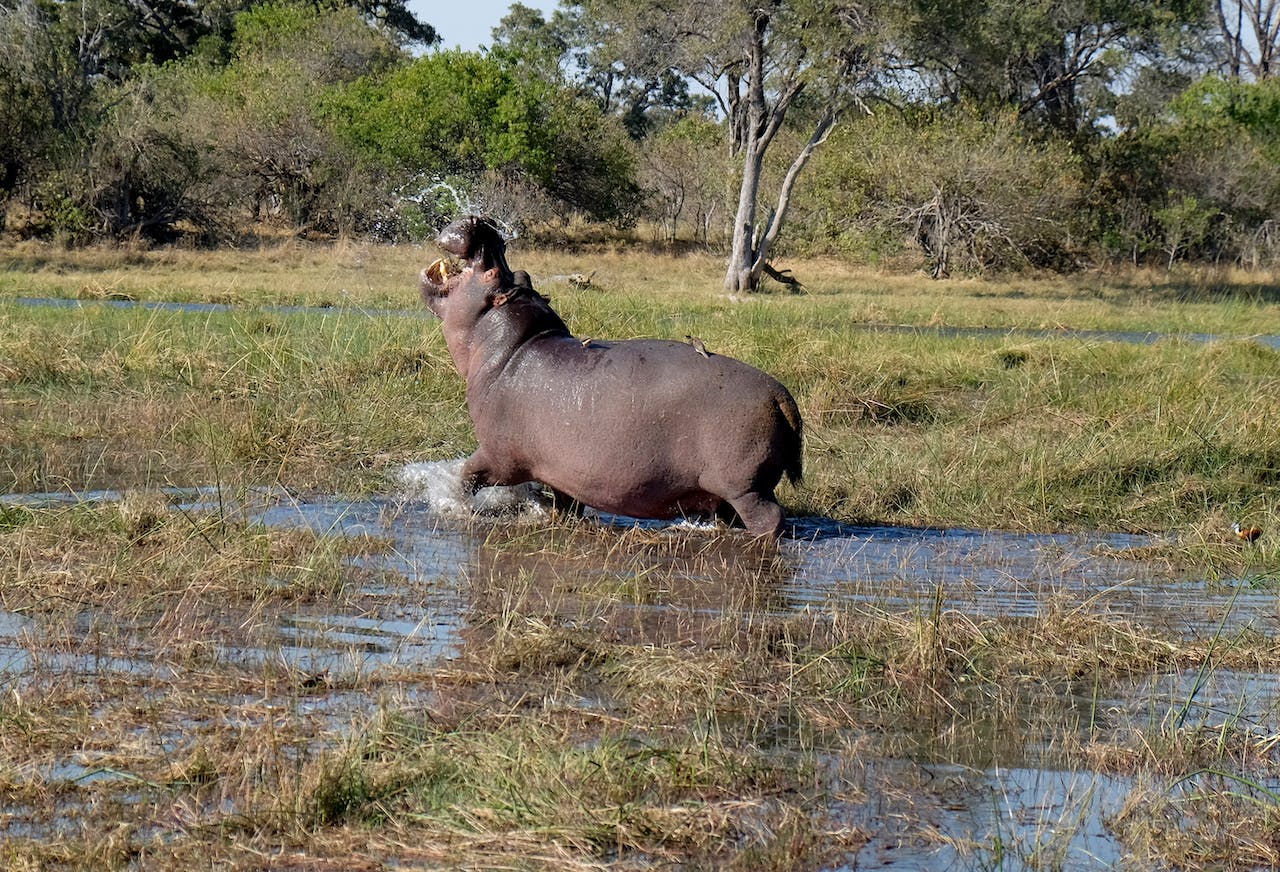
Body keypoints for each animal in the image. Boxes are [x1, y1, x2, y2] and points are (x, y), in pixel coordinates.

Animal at [419, 216, 803, 538]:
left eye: (492, 275)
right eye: (522, 273)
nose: (483, 224)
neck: (512, 345)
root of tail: (780, 395)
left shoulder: (500, 457)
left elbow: (467, 475)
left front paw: (455, 503)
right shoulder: (562, 471)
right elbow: (565, 504)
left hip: (744, 487)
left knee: (770, 519)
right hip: (729, 490)